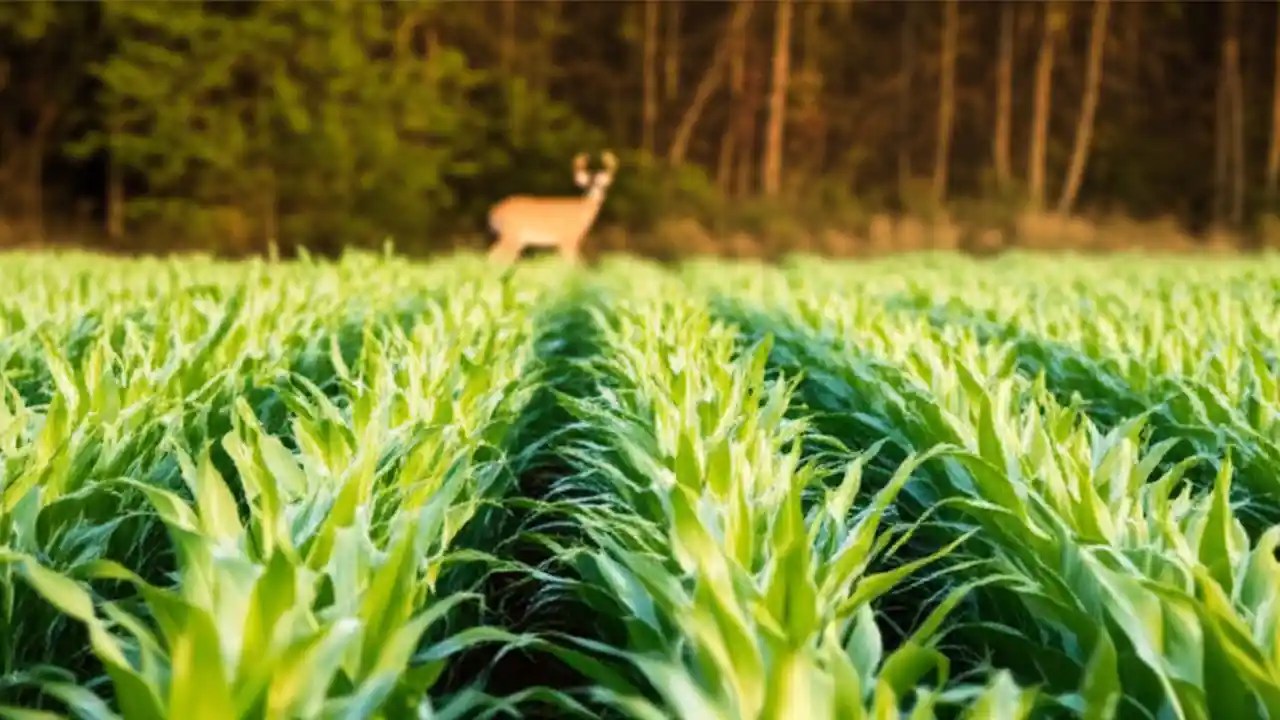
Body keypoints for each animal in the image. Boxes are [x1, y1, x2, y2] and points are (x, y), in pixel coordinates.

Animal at [486, 151, 617, 264]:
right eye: (587, 186)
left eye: (602, 186)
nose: (594, 194)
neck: (582, 213)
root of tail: (494, 212)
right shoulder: (568, 239)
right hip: (512, 234)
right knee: (494, 256)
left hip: (514, 238)